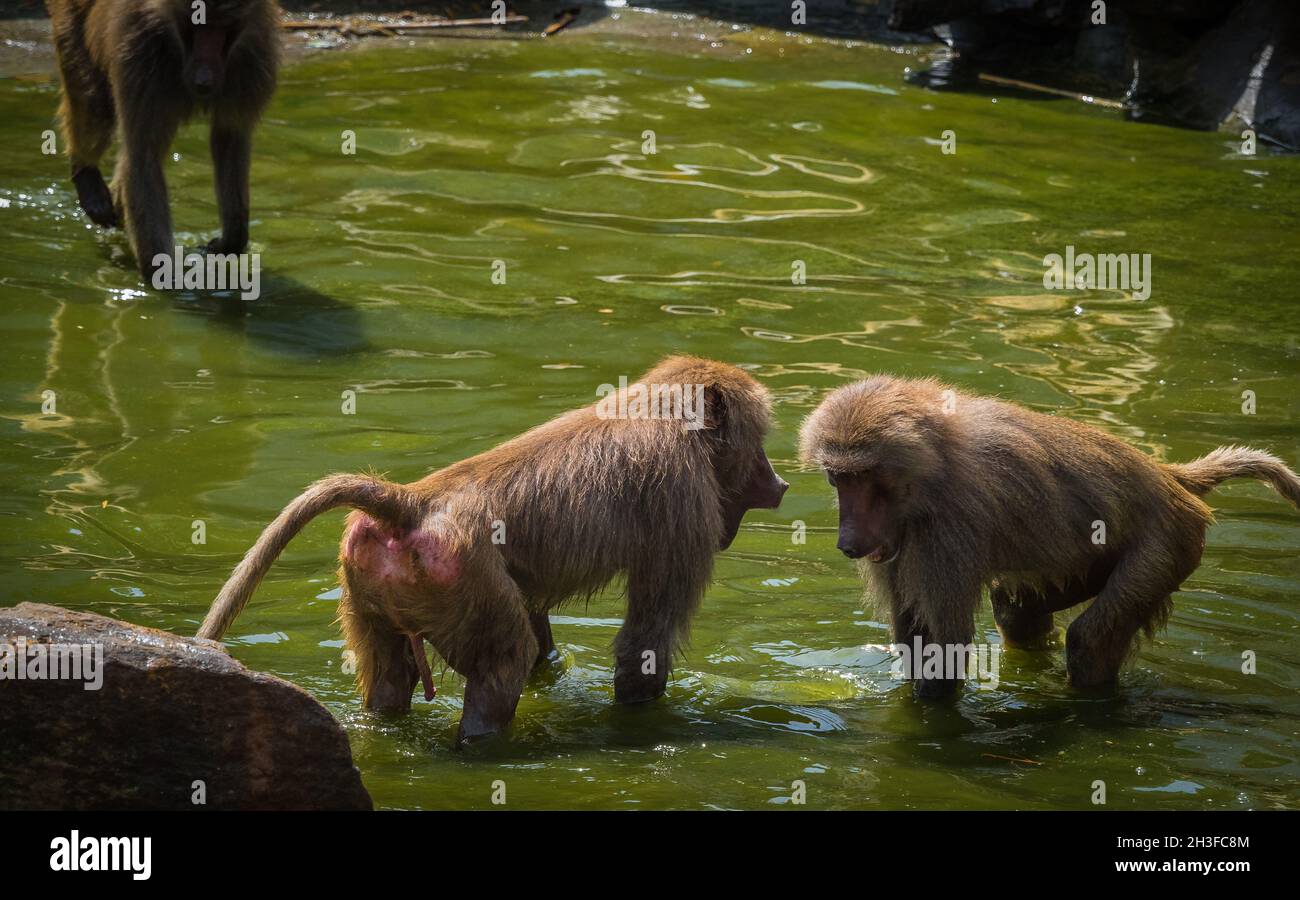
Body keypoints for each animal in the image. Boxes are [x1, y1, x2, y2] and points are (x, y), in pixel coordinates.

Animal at [46, 0, 280, 277]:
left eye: (222, 30)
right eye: (194, 28)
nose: (204, 80)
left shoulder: (248, 64)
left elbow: (229, 139)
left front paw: (231, 241)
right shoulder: (139, 58)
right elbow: (143, 154)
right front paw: (163, 274)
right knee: (94, 103)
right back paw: (88, 179)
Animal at [197, 357, 788, 743]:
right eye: (757, 444)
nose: (779, 483)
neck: (659, 415)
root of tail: (410, 504)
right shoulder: (686, 502)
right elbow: (644, 644)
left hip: (370, 581)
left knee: (391, 680)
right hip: (460, 579)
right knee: (503, 664)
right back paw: (479, 746)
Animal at [799, 375, 1300, 696]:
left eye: (864, 478)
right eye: (838, 479)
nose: (847, 542)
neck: (933, 466)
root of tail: (1166, 477)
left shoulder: (950, 529)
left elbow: (945, 651)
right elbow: (914, 634)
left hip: (1170, 543)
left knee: (1090, 642)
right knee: (1017, 615)